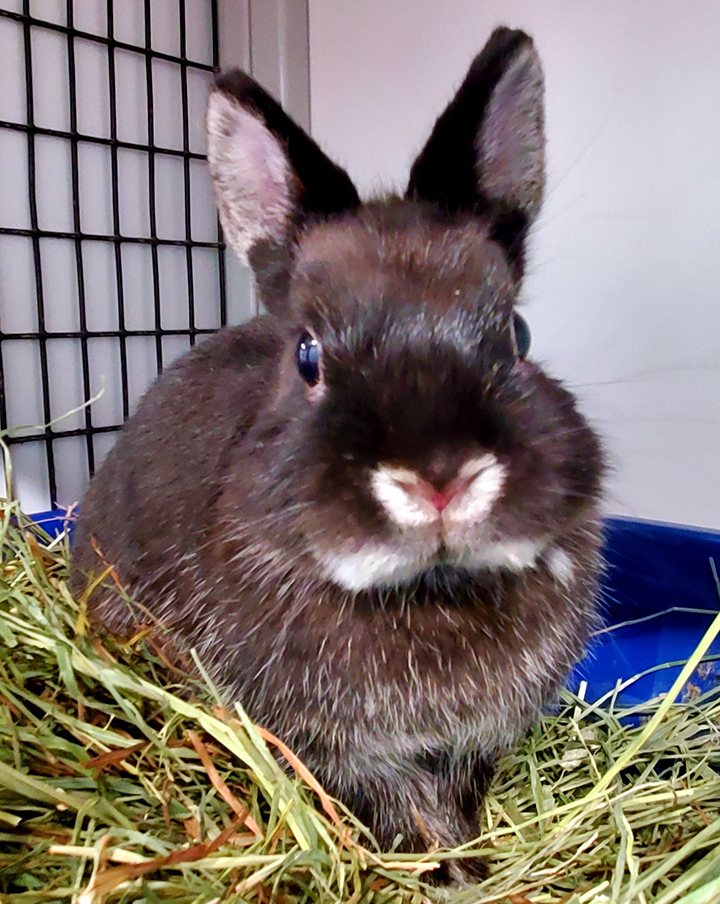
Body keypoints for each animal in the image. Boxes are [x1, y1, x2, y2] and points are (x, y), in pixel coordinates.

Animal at [71, 27, 604, 884]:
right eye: (307, 356)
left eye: (517, 336)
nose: (439, 478)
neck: (428, 594)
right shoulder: (335, 749)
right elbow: (402, 808)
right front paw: (440, 869)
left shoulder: (476, 742)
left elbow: (456, 796)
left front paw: (470, 866)